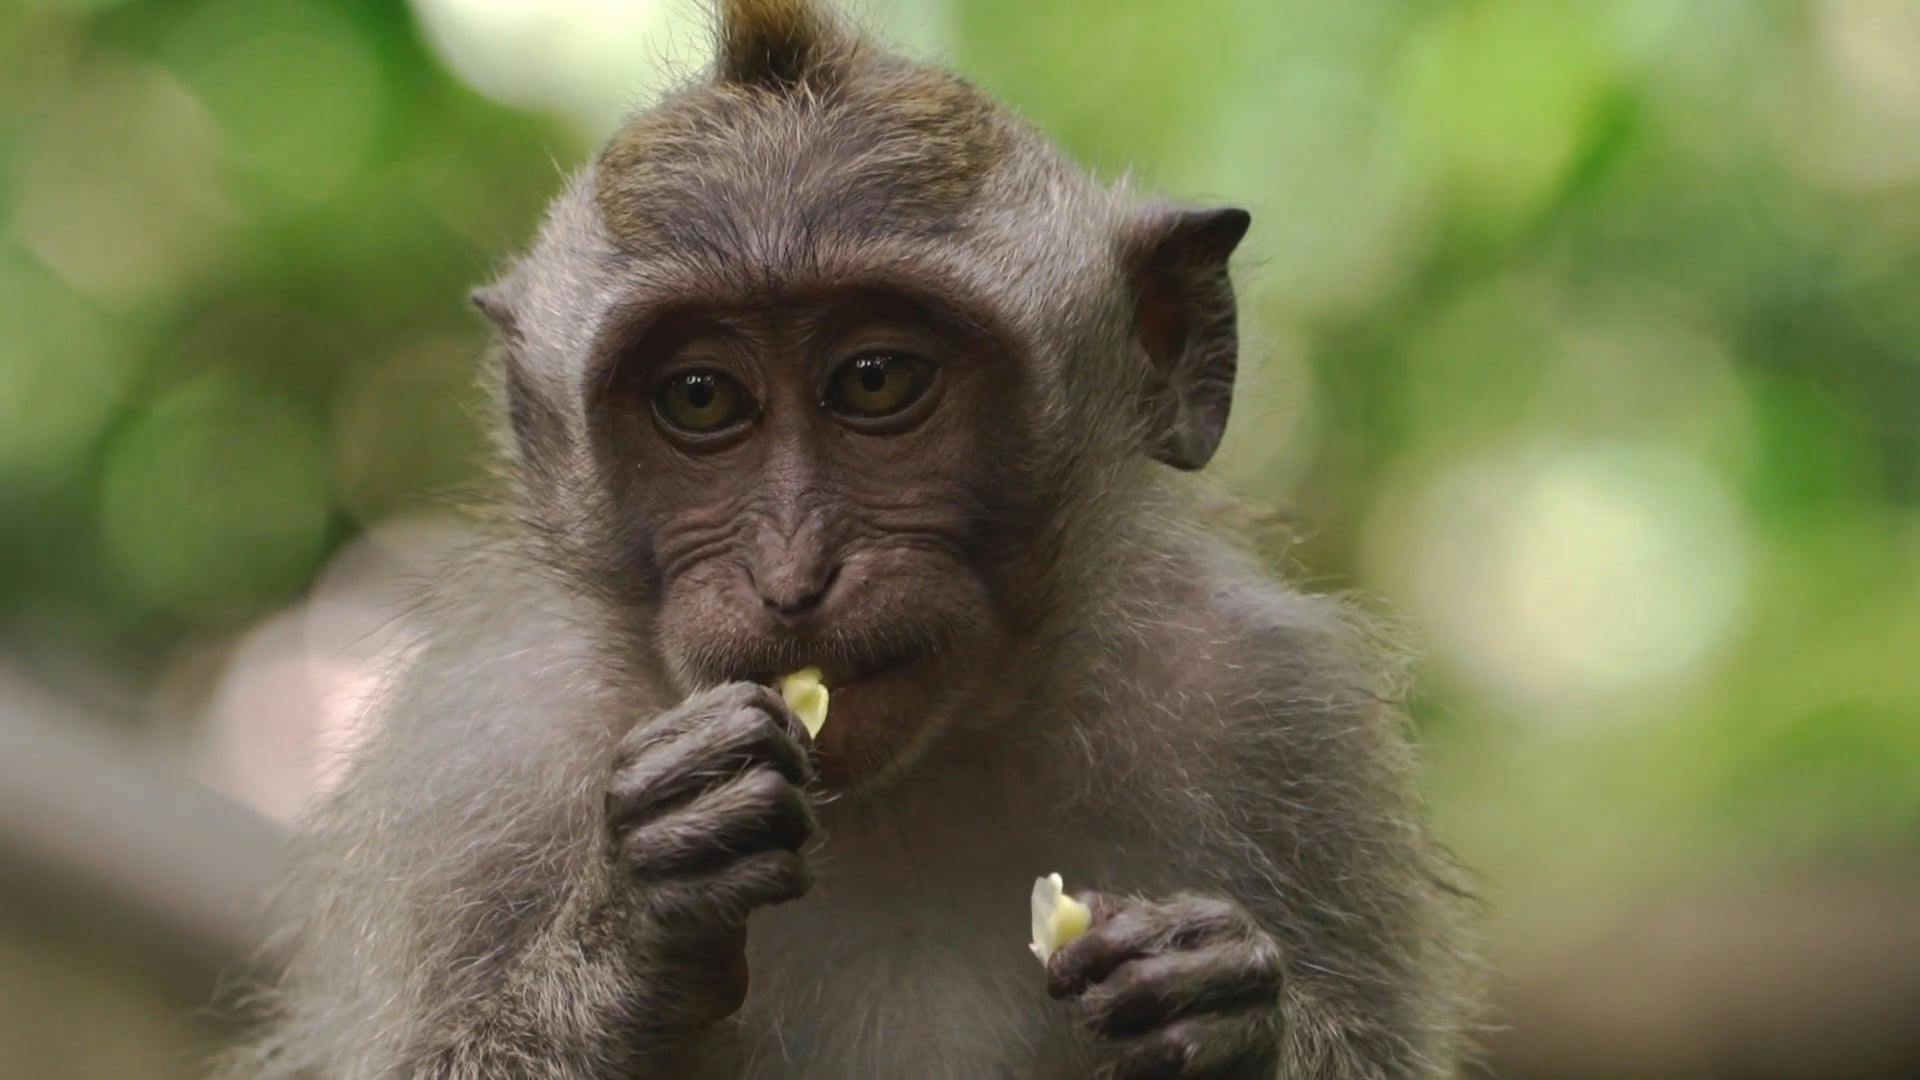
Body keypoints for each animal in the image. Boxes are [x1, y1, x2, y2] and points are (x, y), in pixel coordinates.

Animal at [218, 1, 1479, 1077]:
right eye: (700, 399)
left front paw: (1225, 1012)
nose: (792, 575)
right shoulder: (476, 773)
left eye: (875, 380)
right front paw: (631, 924)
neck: (897, 788)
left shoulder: (1280, 716)